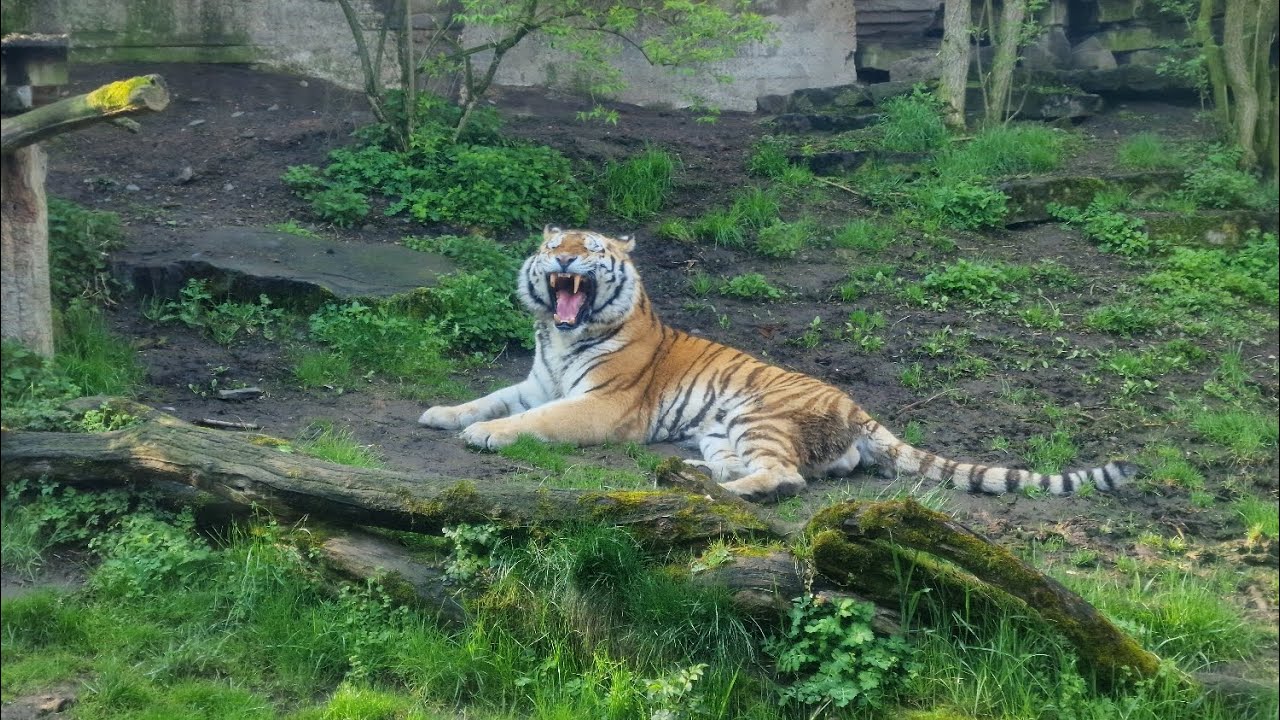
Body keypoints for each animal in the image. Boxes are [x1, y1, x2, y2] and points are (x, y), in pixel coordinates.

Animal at [418, 226, 1138, 502]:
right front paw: (441, 414)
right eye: (554, 247)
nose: (565, 258)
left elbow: (531, 422)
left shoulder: (599, 404)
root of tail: (856, 404)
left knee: (785, 478)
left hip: (756, 415)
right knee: (789, 468)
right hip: (721, 430)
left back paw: (717, 490)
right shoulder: (536, 381)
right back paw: (691, 472)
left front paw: (484, 436)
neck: (561, 335)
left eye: (592, 249)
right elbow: (491, 397)